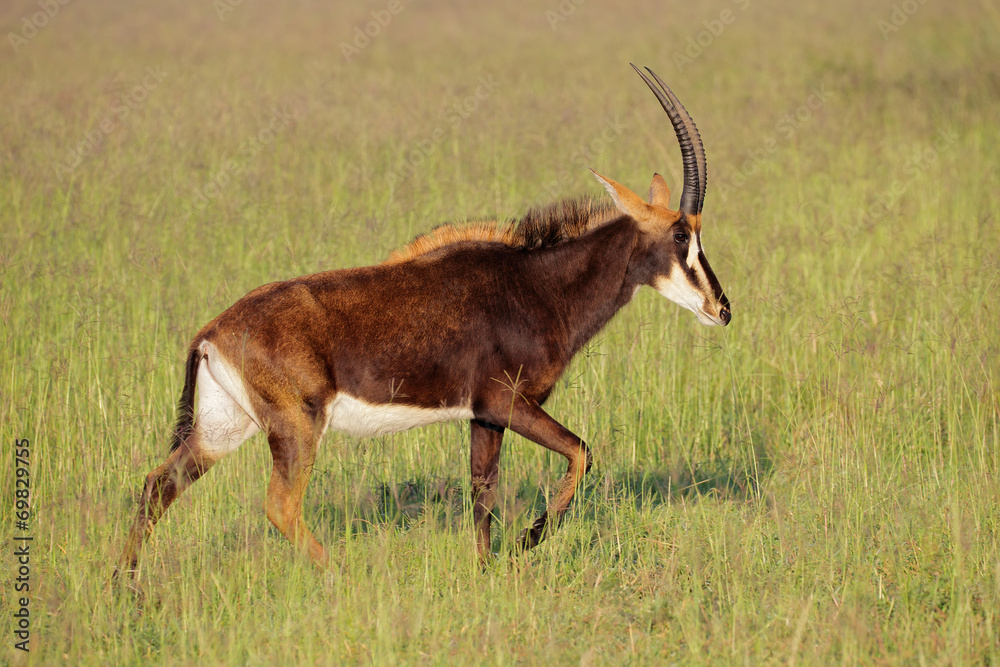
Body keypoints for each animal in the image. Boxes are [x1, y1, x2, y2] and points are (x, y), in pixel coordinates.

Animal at [116, 65, 731, 576]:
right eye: (681, 234)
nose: (722, 309)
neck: (536, 284)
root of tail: (212, 333)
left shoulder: (484, 417)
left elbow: (483, 495)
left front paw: (487, 570)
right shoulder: (508, 403)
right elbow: (580, 452)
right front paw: (526, 544)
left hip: (224, 427)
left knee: (157, 485)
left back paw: (126, 587)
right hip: (296, 427)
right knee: (280, 505)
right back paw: (344, 578)